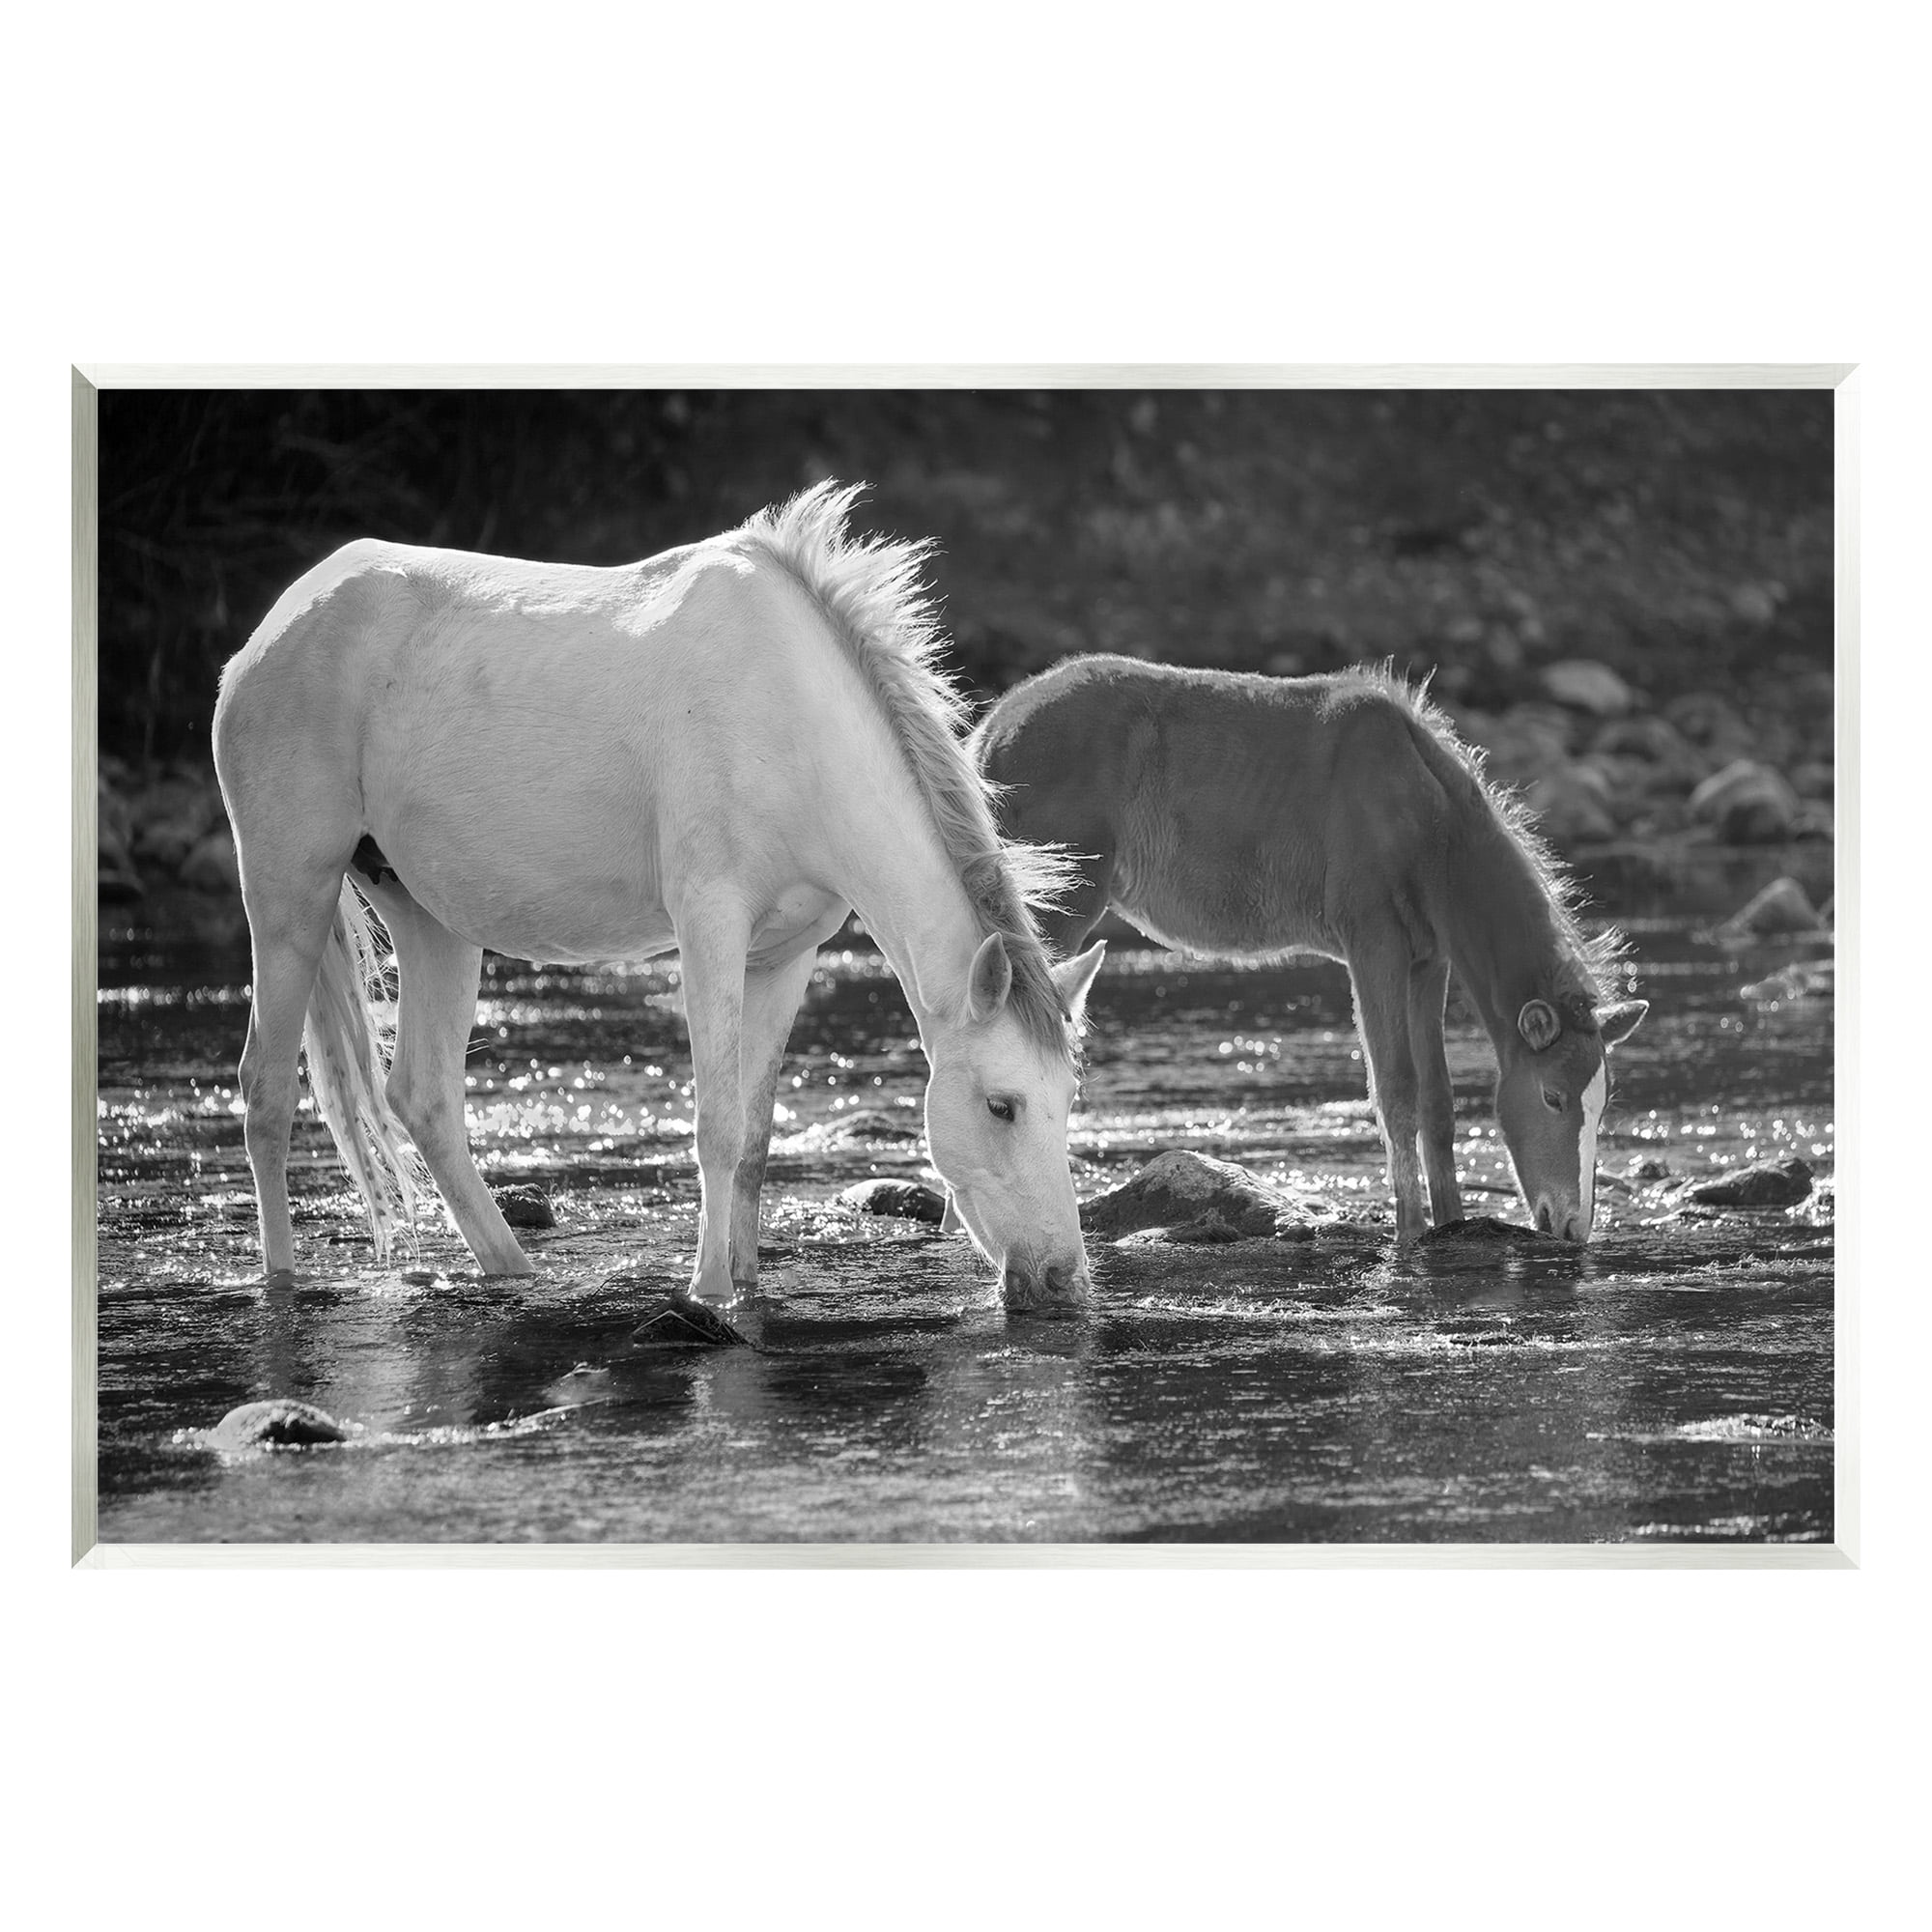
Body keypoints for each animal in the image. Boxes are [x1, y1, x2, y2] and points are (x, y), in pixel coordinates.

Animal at [213, 483, 1107, 1314]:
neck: (790, 720)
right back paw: (280, 1281)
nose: (1062, 1279)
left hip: (430, 916)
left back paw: (513, 1271)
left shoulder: (786, 955)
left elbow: (754, 1139)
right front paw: (708, 1293)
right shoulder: (709, 925)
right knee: (267, 1091)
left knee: (422, 1096)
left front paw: (747, 1284)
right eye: (1001, 1106)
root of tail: (271, 632)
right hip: (290, 887)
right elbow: (716, 1127)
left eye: (1070, 1100)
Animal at [973, 656, 1647, 1244]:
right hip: (1058, 909)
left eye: (1603, 1103)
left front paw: (1452, 1223)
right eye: (1553, 1097)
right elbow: (1395, 1090)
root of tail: (992, 729)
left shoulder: (1428, 962)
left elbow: (1438, 1100)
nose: (1573, 1226)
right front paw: (1410, 1233)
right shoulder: (1374, 945)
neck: (1426, 819)